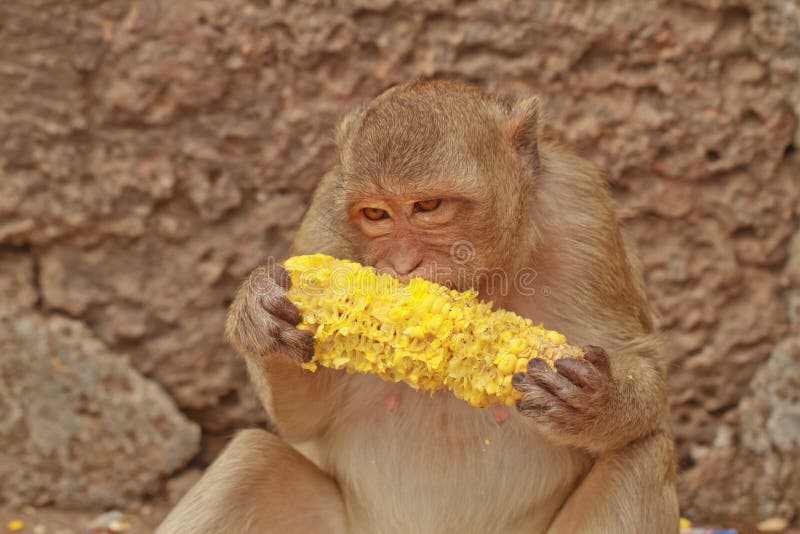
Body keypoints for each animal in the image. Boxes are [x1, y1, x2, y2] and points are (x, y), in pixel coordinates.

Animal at [157, 80, 679, 534]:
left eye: (428, 206)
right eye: (375, 214)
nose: (403, 265)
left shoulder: (583, 213)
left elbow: (643, 368)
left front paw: (597, 404)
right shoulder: (323, 224)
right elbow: (302, 418)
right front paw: (259, 316)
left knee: (643, 455)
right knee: (252, 457)